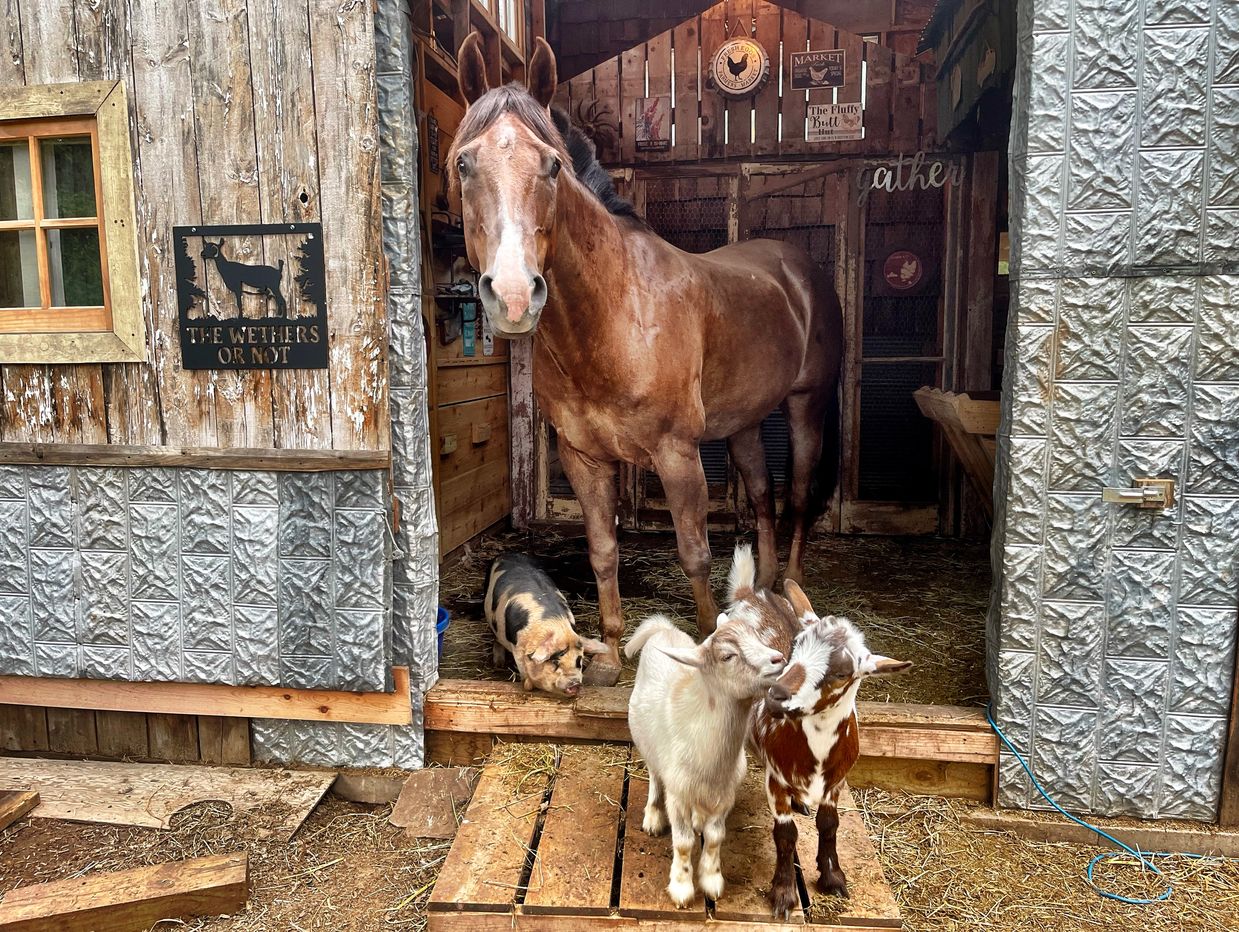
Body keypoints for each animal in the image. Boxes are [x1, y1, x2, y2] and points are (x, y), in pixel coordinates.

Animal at [450, 34, 847, 684]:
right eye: (465, 163)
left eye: (551, 164)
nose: (512, 295)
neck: (617, 313)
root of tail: (795, 267)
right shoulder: (584, 459)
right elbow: (604, 553)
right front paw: (610, 659)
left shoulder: (677, 454)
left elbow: (694, 554)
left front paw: (713, 642)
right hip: (743, 423)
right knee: (763, 495)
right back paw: (764, 587)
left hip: (804, 407)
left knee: (796, 496)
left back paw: (791, 586)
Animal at [624, 607, 788, 907]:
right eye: (727, 656)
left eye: (757, 637)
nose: (778, 659)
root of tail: (664, 629)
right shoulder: (677, 794)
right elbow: (683, 842)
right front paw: (681, 887)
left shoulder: (725, 793)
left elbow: (714, 837)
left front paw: (711, 880)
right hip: (644, 740)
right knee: (654, 774)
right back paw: (653, 816)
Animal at [743, 584, 911, 922]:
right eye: (794, 648)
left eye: (842, 672)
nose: (776, 695)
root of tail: (759, 592)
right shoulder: (775, 779)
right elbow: (786, 834)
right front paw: (783, 894)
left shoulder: (837, 780)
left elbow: (830, 824)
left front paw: (833, 877)